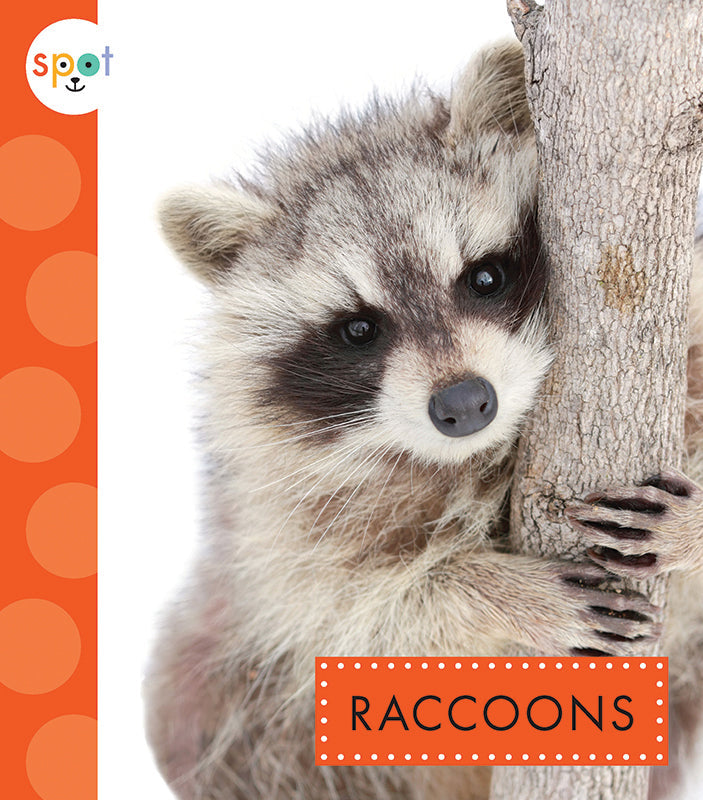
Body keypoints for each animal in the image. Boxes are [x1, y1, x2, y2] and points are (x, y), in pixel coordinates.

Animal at [145, 41, 703, 800]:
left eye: (485, 278)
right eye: (357, 329)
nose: (464, 404)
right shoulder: (281, 530)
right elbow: (351, 618)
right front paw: (488, 593)